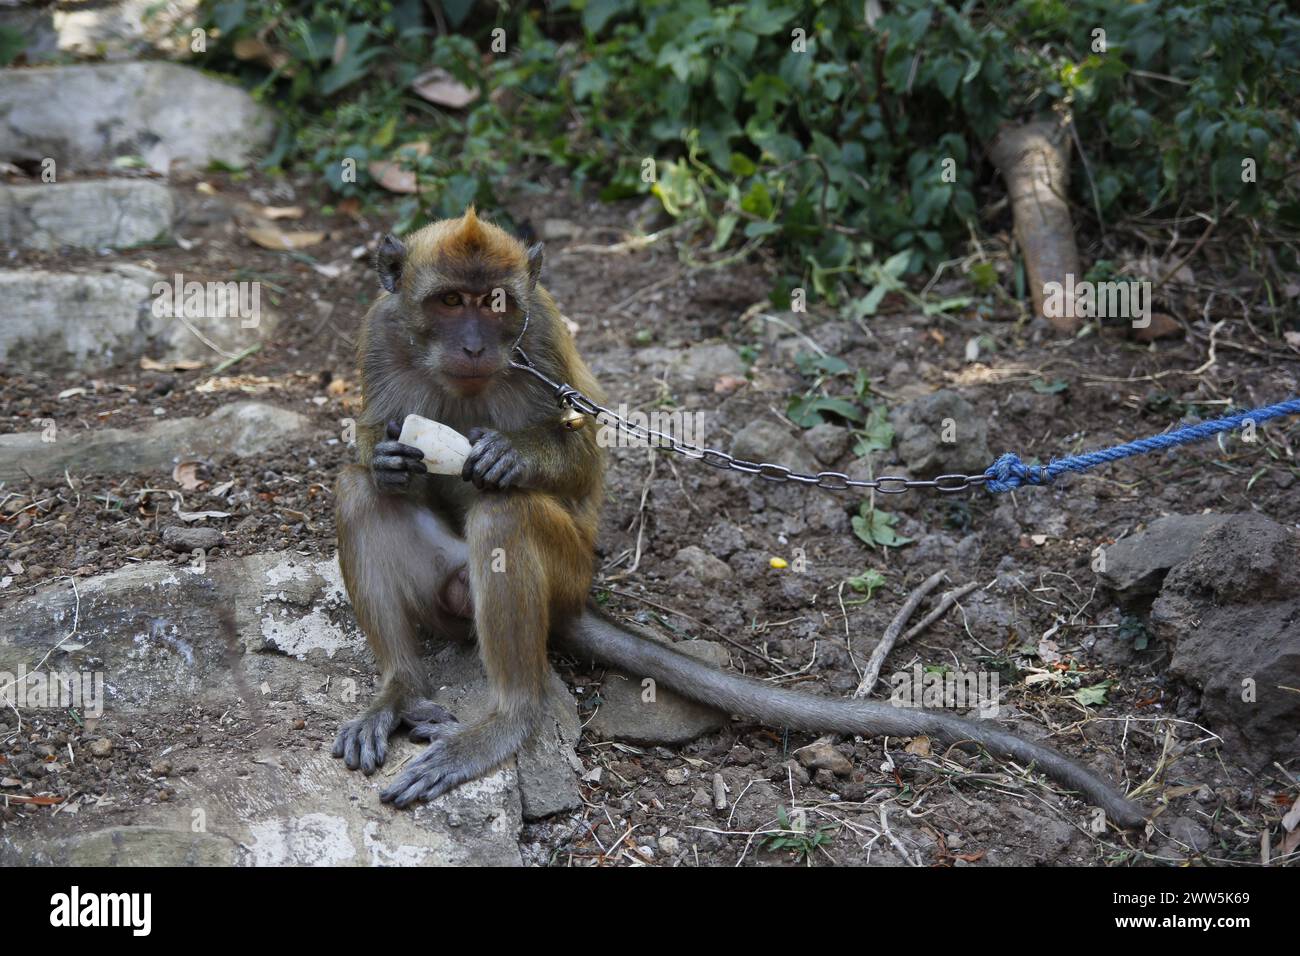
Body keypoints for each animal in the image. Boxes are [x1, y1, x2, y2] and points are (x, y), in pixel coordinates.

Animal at [332, 208, 1148, 830]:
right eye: (449, 303)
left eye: (495, 305)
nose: (474, 343)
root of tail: (573, 601)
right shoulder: (376, 330)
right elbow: (369, 443)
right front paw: (391, 457)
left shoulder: (541, 339)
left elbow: (584, 460)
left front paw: (508, 456)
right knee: (360, 493)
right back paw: (398, 688)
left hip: (562, 568)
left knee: (505, 520)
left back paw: (508, 716)